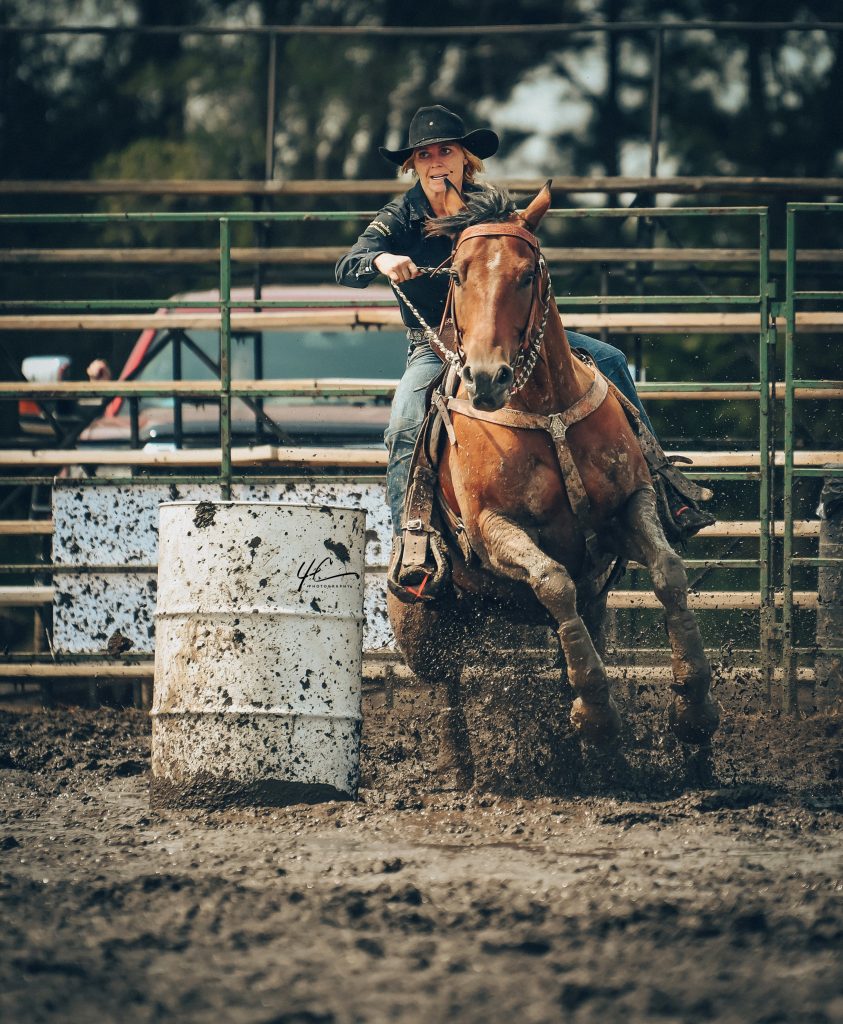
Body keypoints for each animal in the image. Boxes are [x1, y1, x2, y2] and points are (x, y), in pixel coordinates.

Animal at [386, 182, 720, 788]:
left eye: (526, 274)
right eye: (456, 276)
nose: (486, 378)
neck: (545, 409)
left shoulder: (631, 504)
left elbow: (668, 572)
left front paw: (694, 714)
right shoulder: (495, 529)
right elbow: (553, 581)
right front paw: (598, 722)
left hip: (596, 600)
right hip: (423, 625)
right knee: (447, 683)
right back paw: (458, 767)